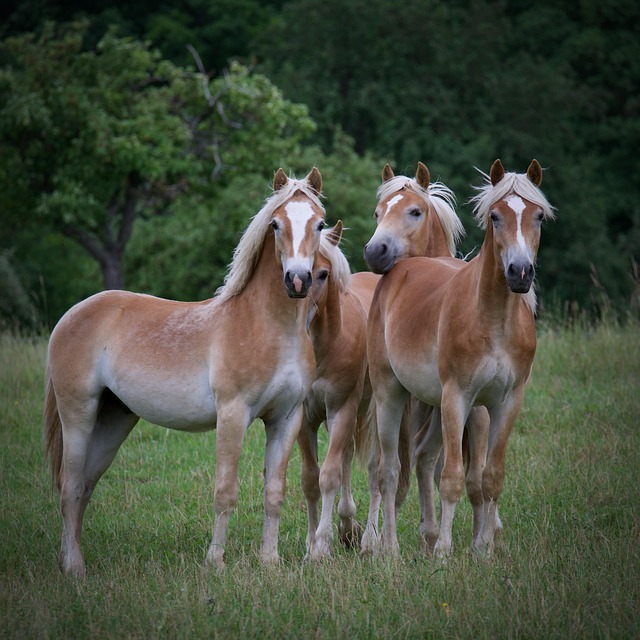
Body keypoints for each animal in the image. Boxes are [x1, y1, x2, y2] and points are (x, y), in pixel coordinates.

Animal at [44, 167, 327, 578]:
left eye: (320, 224)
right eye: (276, 224)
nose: (298, 280)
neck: (271, 329)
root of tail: (70, 315)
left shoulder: (286, 419)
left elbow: (274, 493)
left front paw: (270, 562)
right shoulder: (233, 414)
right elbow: (225, 492)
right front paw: (215, 562)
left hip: (113, 418)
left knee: (84, 485)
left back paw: (73, 559)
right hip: (78, 414)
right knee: (70, 486)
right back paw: (74, 567)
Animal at [366, 159, 554, 557]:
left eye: (539, 217)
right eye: (495, 217)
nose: (520, 272)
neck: (494, 319)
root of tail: (401, 271)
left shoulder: (502, 403)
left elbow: (487, 477)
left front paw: (482, 548)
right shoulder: (457, 398)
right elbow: (451, 477)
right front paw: (443, 551)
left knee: (421, 459)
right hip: (391, 394)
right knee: (388, 471)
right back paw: (388, 547)